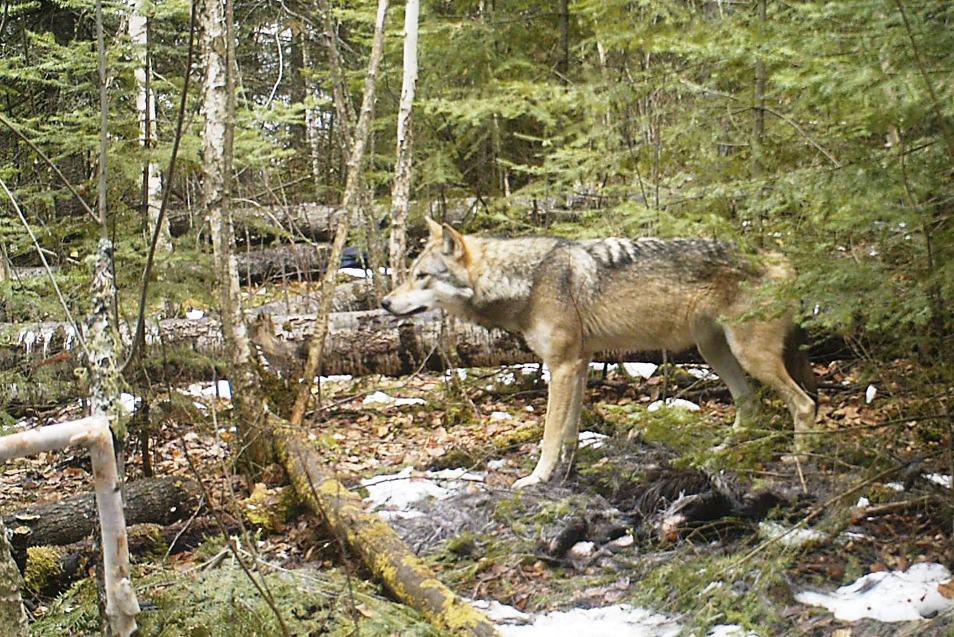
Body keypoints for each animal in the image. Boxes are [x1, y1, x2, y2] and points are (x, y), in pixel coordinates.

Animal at [382, 219, 816, 488]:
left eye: (421, 276)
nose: (384, 303)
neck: (527, 280)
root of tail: (783, 260)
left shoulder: (560, 366)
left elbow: (550, 435)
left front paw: (536, 478)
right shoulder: (580, 362)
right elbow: (570, 432)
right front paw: (568, 472)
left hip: (749, 356)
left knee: (805, 404)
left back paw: (799, 459)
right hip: (716, 353)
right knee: (749, 404)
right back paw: (721, 452)